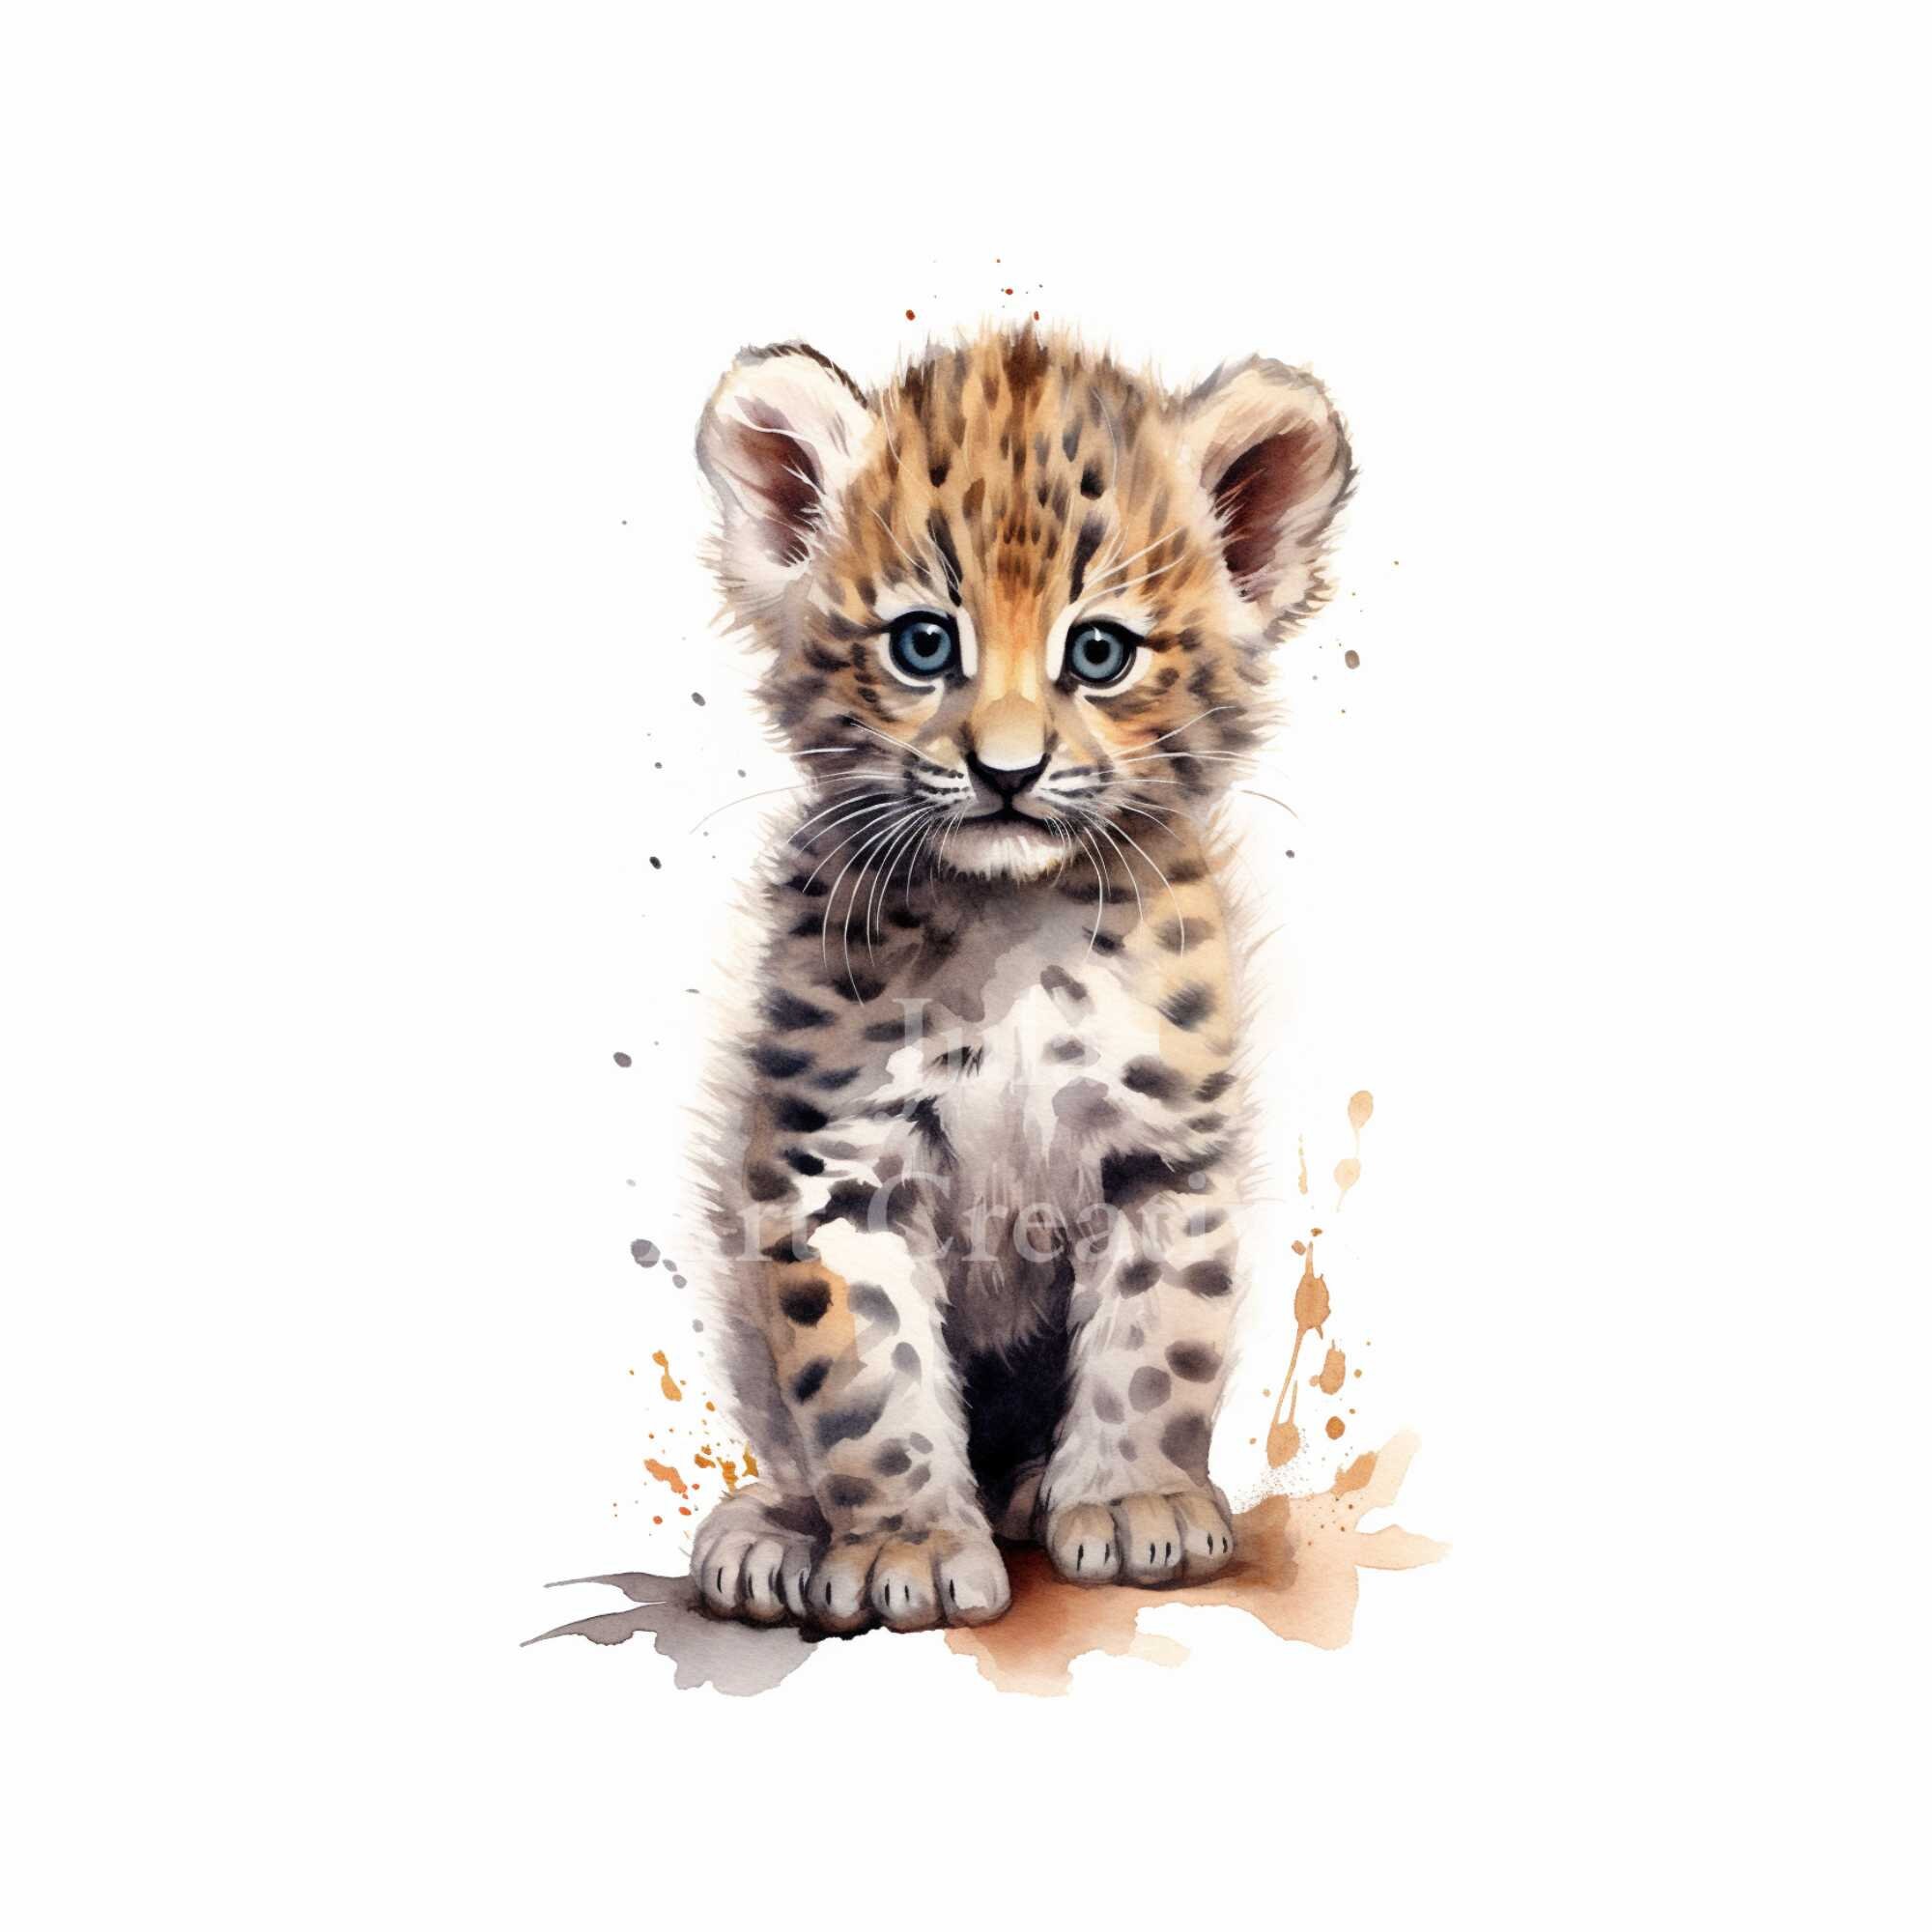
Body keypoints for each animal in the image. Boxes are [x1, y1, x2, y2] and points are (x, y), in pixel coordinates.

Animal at [682, 325, 1352, 1632]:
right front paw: (900, 1544)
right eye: (922, 642)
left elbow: (1155, 1339)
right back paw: (771, 1533)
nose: (1006, 770)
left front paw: (1133, 1500)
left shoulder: (1161, 1146)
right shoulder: (832, 1160)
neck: (1011, 929)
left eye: (1097, 651)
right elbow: (861, 1375)